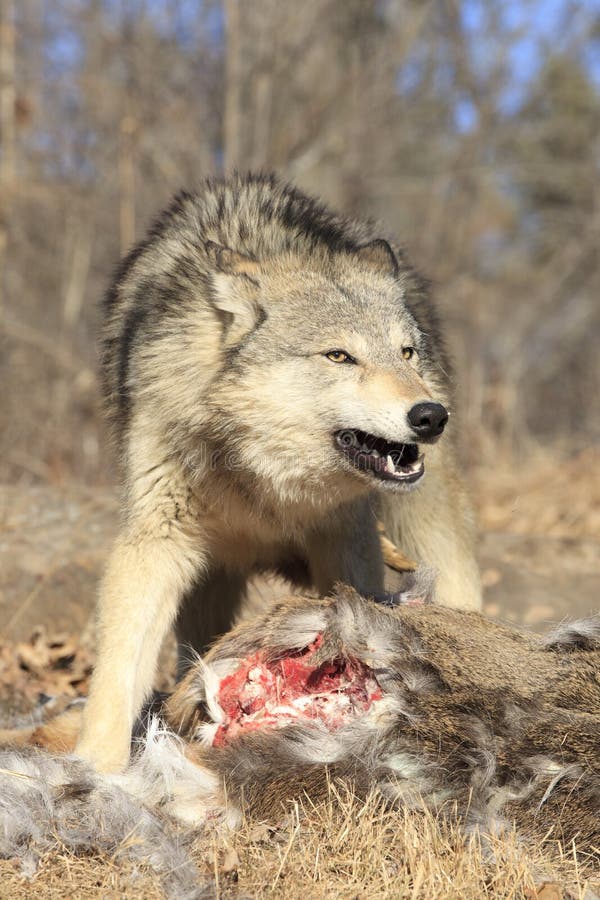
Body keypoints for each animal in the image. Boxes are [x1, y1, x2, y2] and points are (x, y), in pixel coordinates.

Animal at [76, 173, 481, 772]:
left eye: (405, 353)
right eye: (339, 357)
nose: (430, 416)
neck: (264, 480)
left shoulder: (346, 537)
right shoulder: (157, 540)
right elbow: (118, 667)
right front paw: (95, 769)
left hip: (427, 524)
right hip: (207, 591)